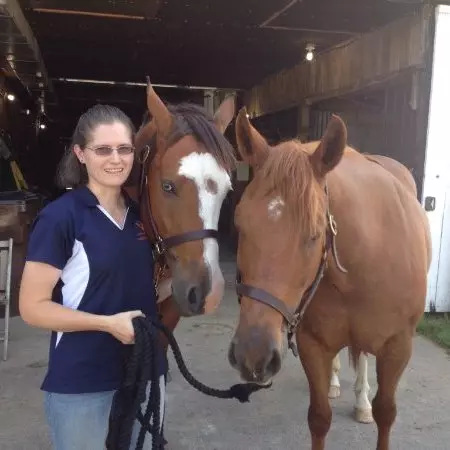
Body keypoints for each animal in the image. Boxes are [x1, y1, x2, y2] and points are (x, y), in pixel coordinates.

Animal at [229, 109, 432, 450]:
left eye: (314, 235)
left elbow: (385, 412)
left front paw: (369, 406)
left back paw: (361, 402)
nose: (253, 356)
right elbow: (319, 417)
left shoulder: (398, 346)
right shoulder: (313, 344)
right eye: (240, 224)